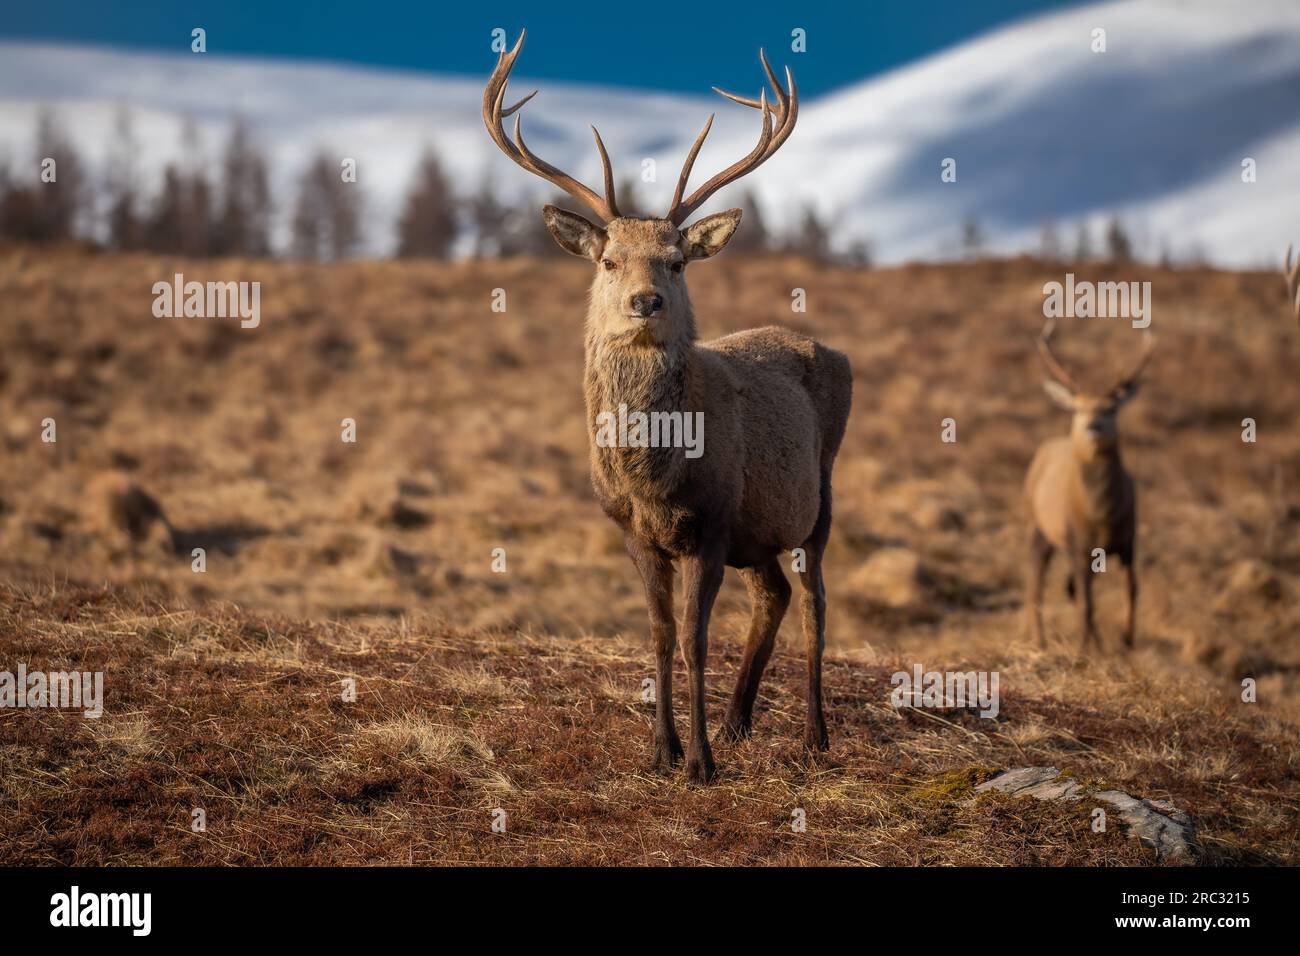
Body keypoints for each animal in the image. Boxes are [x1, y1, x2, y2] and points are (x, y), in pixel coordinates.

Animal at [483, 32, 852, 783]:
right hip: (757, 531)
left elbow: (693, 640)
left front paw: (700, 764)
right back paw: (740, 722)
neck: (654, 472)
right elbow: (655, 637)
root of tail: (837, 354)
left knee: (815, 605)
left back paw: (813, 735)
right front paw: (663, 750)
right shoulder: (634, 529)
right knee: (773, 595)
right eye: (608, 261)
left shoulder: (712, 521)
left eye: (676, 262)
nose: (645, 301)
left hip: (819, 498)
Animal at [1024, 319, 1154, 651]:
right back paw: (1040, 641)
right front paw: (1084, 649)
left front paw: (1126, 640)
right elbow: (1087, 602)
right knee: (1038, 583)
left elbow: (1132, 588)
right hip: (1039, 525)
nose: (1093, 426)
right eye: (1078, 409)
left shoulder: (1129, 540)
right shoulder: (1078, 542)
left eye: (1111, 408)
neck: (1102, 516)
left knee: (1073, 589)